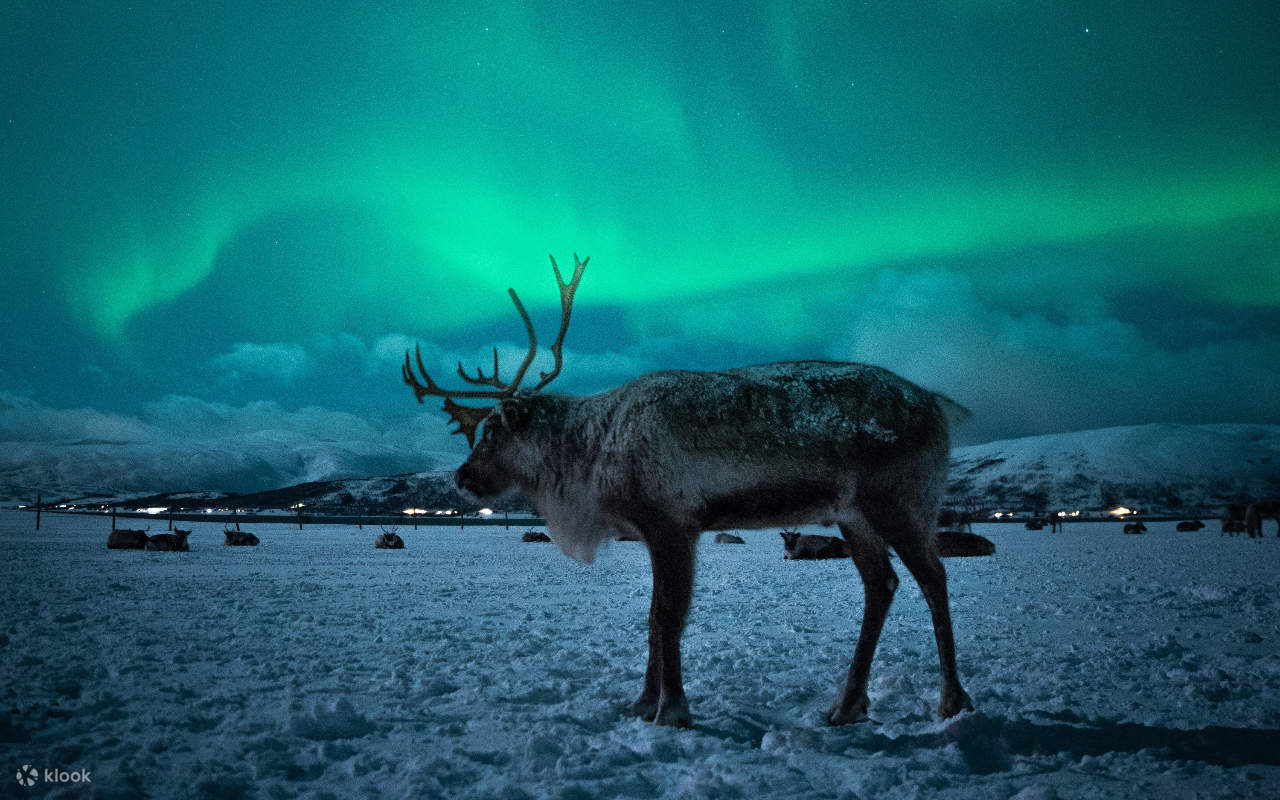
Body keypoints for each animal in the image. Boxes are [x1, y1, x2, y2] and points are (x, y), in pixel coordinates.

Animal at [402, 253, 974, 727]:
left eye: (494, 428)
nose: (462, 477)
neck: (593, 454)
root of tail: (939, 403)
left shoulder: (673, 523)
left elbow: (668, 615)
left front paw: (672, 709)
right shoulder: (657, 531)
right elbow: (654, 616)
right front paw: (641, 702)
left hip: (901, 501)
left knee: (934, 577)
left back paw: (952, 701)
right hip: (853, 516)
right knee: (882, 585)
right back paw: (847, 704)